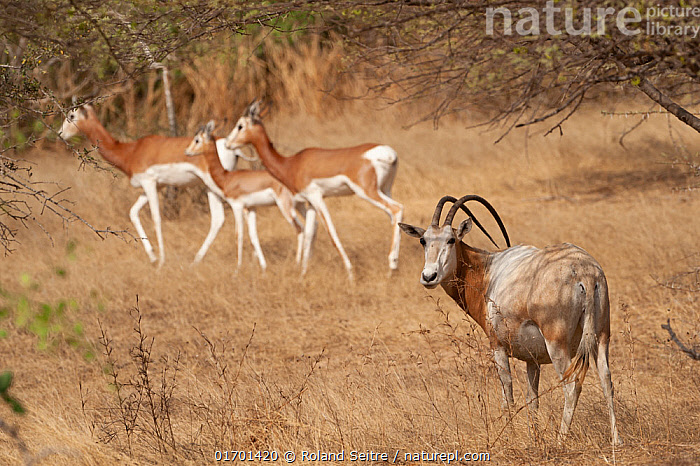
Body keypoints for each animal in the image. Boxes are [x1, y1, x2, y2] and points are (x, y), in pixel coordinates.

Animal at [59, 102, 245, 266]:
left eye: (71, 116)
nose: (60, 133)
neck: (131, 151)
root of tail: (230, 147)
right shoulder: (155, 186)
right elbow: (133, 212)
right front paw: (153, 257)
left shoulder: (149, 183)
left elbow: (156, 218)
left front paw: (161, 261)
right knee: (218, 219)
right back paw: (196, 260)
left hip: (215, 185)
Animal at [185, 121, 305, 270]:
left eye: (197, 140)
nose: (187, 151)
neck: (227, 178)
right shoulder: (251, 208)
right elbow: (254, 236)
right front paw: (263, 266)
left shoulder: (237, 206)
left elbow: (239, 235)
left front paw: (238, 268)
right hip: (300, 206)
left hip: (285, 207)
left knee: (300, 228)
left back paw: (297, 263)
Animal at [224, 100, 404, 280]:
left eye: (240, 125)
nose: (227, 143)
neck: (291, 164)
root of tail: (389, 154)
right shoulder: (309, 202)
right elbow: (310, 233)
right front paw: (302, 274)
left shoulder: (317, 197)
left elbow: (331, 231)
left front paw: (350, 273)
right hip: (385, 189)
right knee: (394, 216)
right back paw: (393, 268)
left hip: (367, 192)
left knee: (397, 208)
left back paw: (392, 265)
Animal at [399, 195, 621, 446]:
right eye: (423, 240)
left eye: (451, 239)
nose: (429, 276)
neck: (487, 271)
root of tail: (585, 273)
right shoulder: (533, 359)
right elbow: (532, 399)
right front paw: (534, 437)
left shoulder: (497, 347)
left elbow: (508, 396)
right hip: (601, 338)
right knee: (607, 380)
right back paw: (616, 440)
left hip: (557, 345)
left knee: (572, 385)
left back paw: (560, 440)